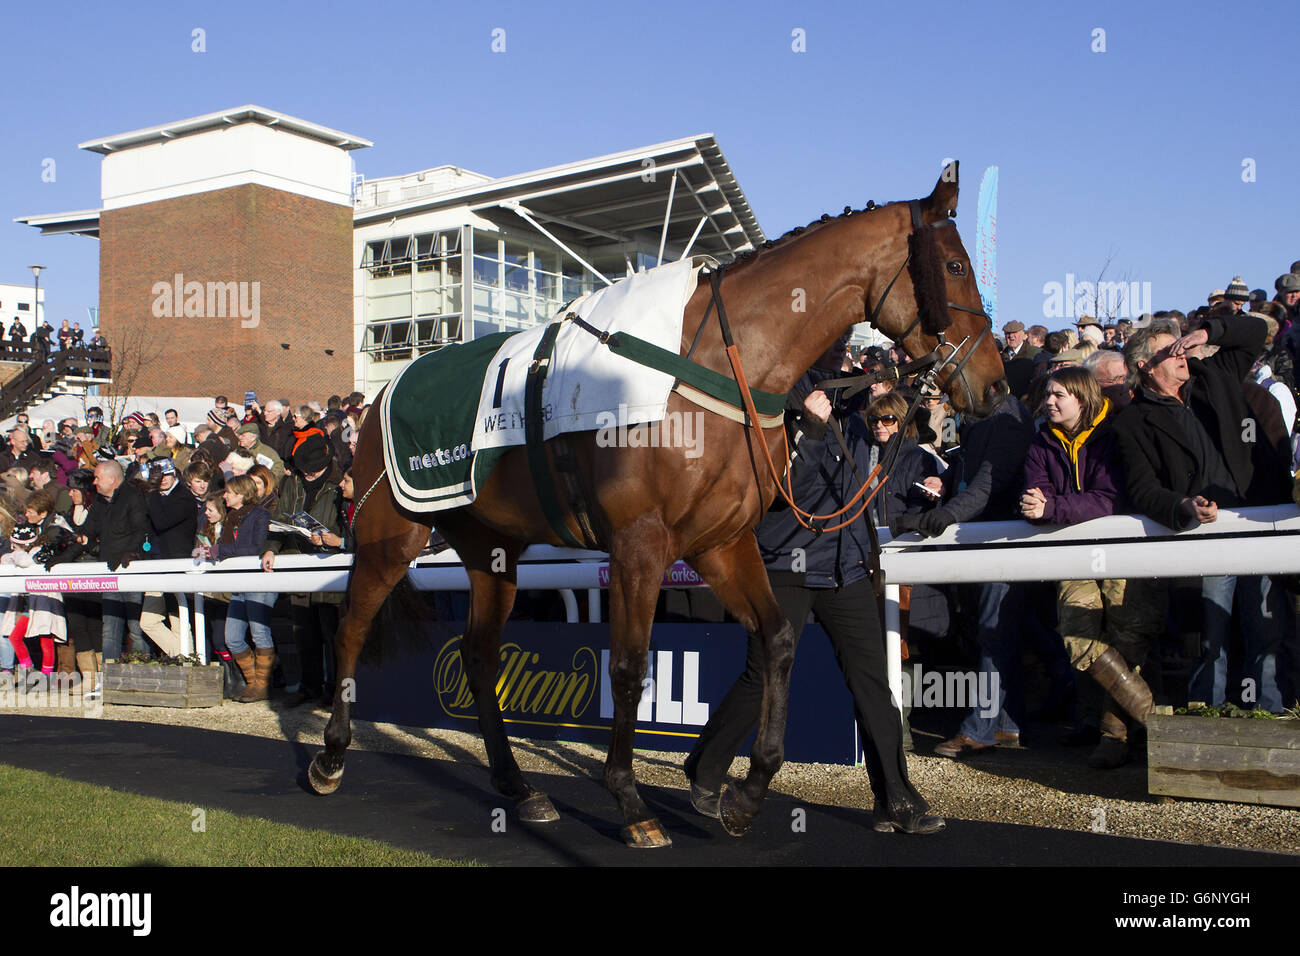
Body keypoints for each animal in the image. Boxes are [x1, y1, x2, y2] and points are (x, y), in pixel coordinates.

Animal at [307, 162, 1007, 847]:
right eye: (955, 267)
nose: (996, 384)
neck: (705, 369)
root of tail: (381, 394)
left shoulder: (721, 541)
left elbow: (777, 639)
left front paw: (745, 795)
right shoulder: (638, 542)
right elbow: (627, 665)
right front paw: (631, 802)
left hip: (491, 548)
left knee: (479, 657)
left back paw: (519, 787)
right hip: (390, 534)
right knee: (351, 628)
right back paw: (332, 757)